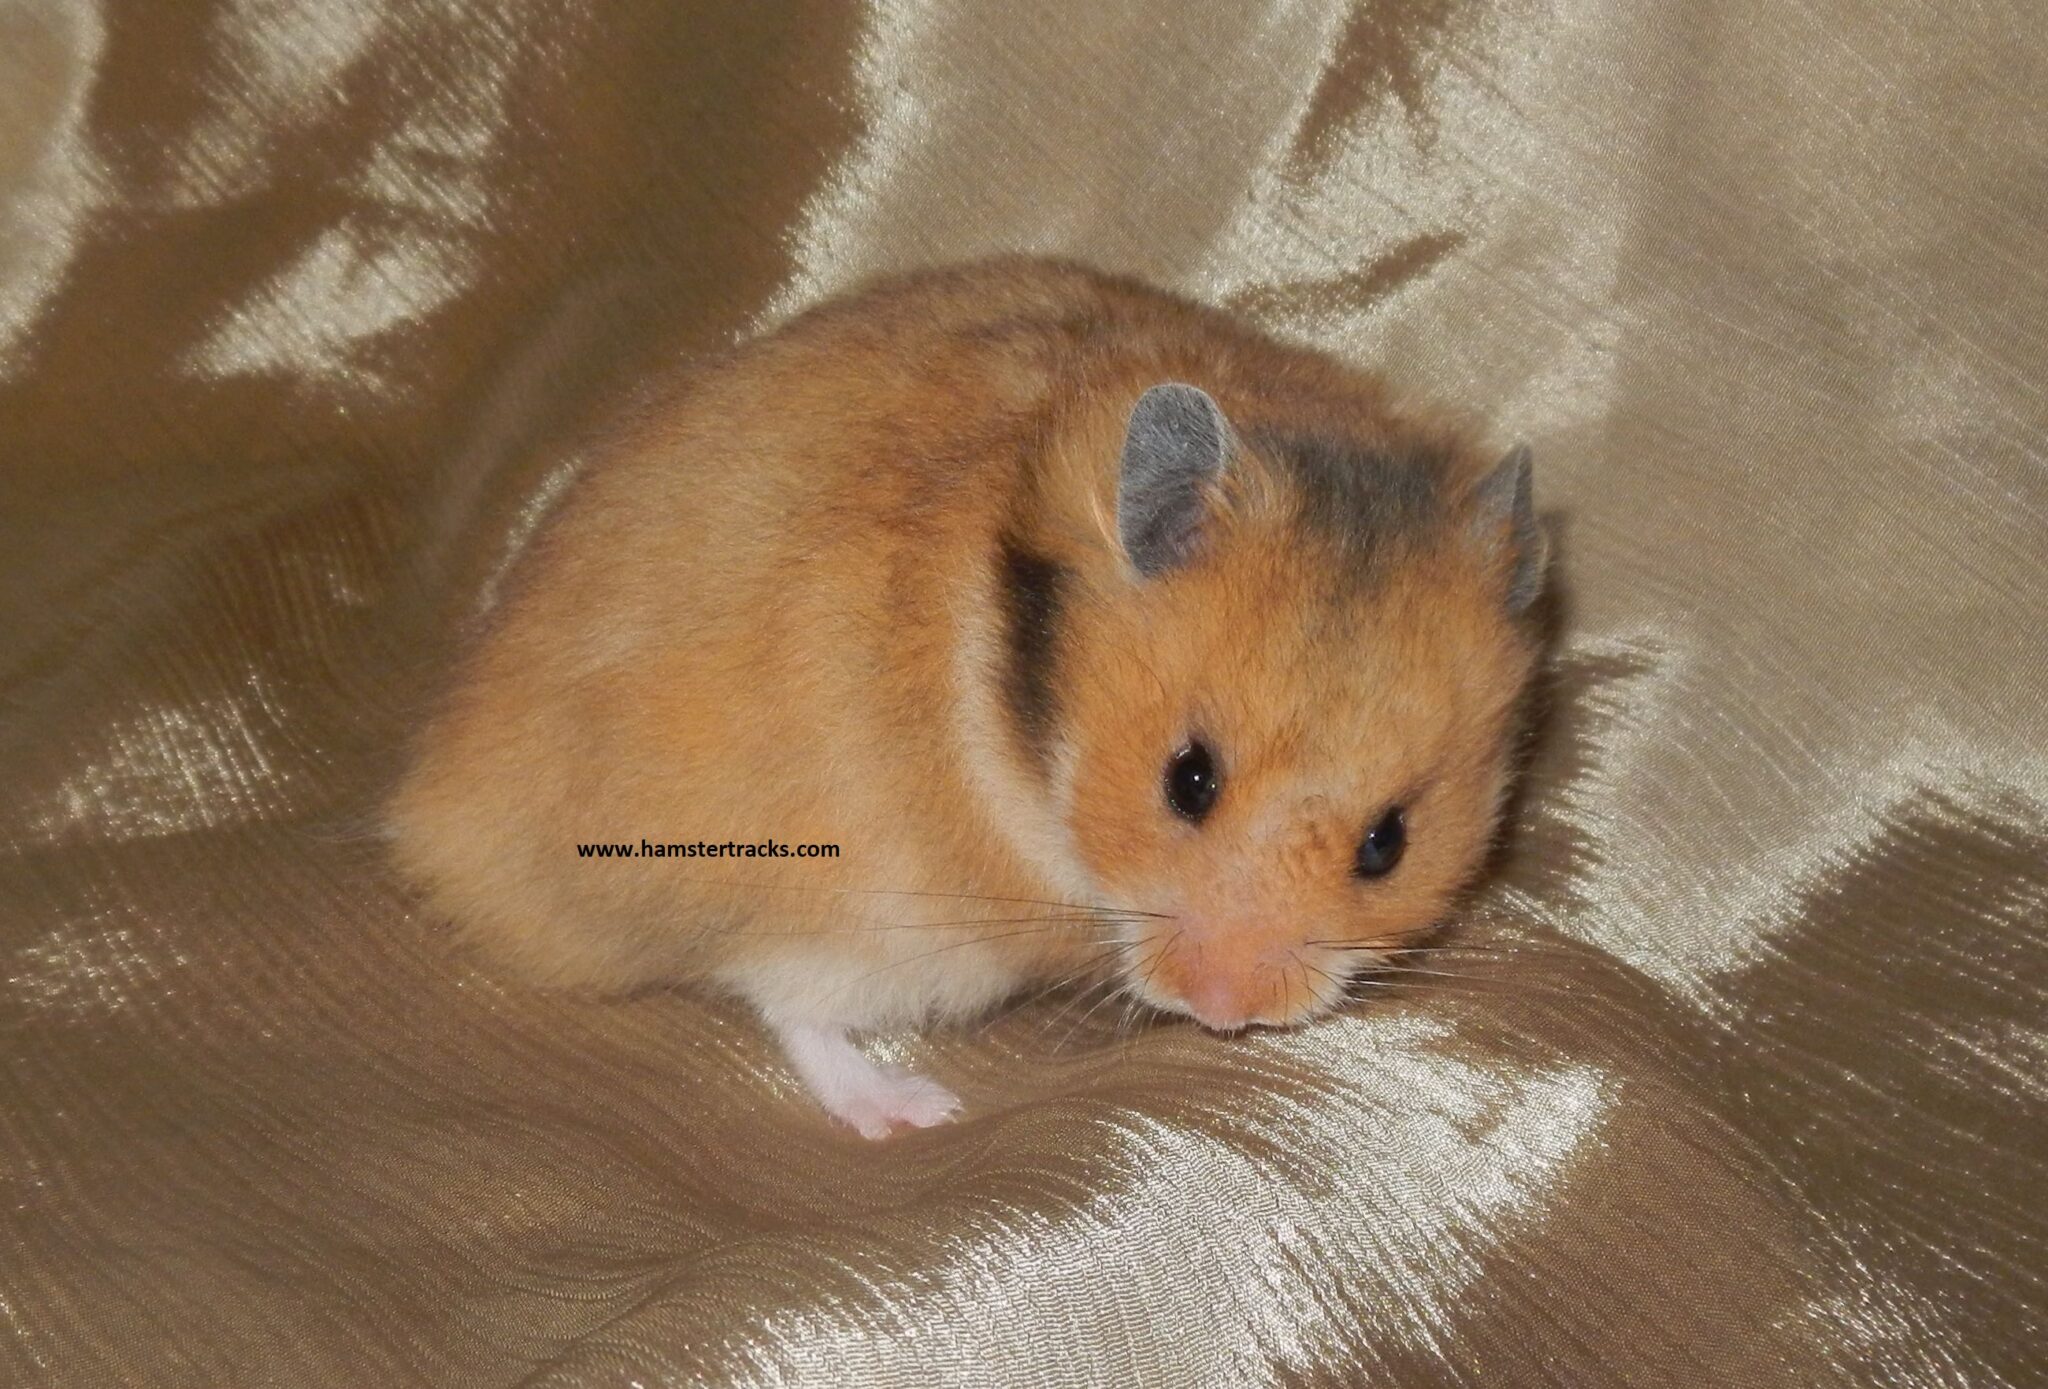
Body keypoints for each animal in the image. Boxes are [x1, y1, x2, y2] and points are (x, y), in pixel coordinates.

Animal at [388, 258, 1548, 1139]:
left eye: (1387, 844)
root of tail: (437, 818)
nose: (1227, 1017)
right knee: (787, 1005)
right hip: (827, 902)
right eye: (1188, 780)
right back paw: (915, 1108)